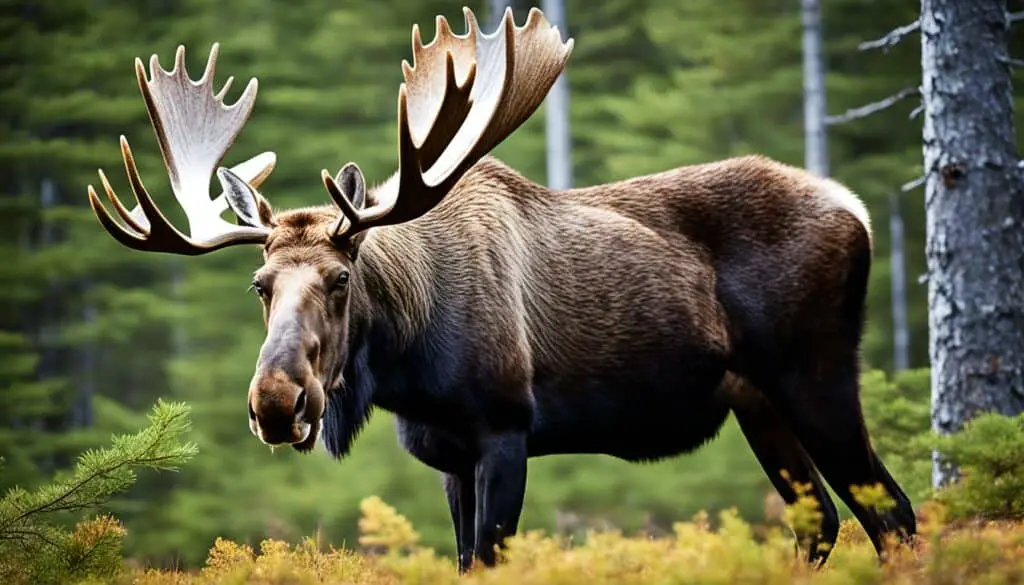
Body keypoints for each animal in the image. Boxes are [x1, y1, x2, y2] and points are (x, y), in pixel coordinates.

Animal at [84, 6, 917, 573]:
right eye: (259, 283)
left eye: (340, 277)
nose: (276, 400)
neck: (410, 365)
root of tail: (859, 210)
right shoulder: (449, 455)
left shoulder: (505, 429)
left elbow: (490, 558)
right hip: (756, 401)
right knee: (822, 521)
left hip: (815, 372)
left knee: (894, 513)